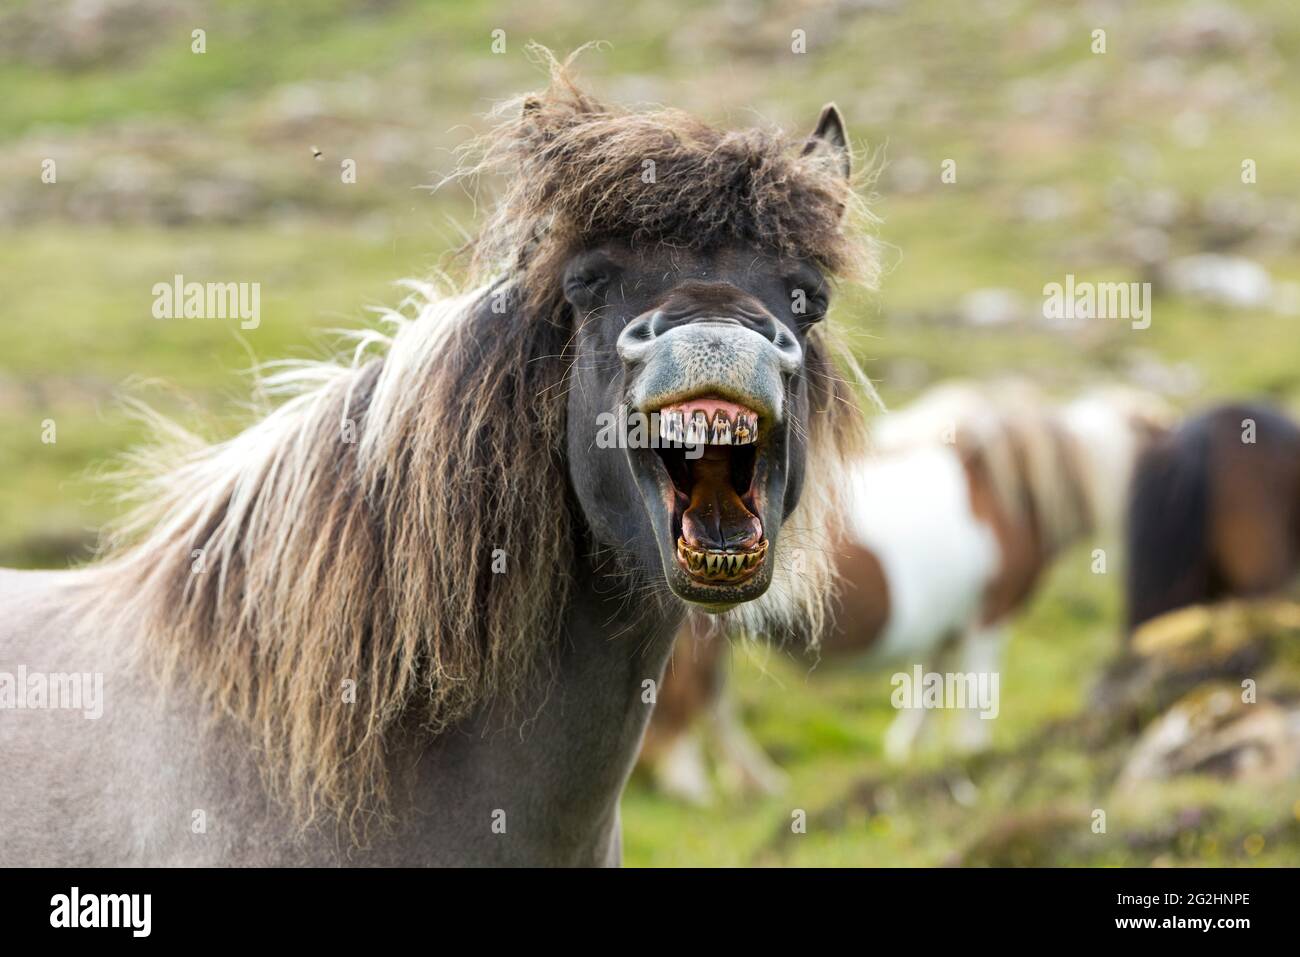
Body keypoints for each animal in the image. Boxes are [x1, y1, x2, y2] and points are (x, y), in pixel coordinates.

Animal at [640, 381, 1171, 801]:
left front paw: (907, 751)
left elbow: (928, 687)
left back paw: (756, 781)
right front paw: (974, 755)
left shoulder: (949, 627)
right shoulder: (988, 621)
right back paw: (696, 785)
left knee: (714, 707)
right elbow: (975, 696)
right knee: (693, 702)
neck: (1011, 493)